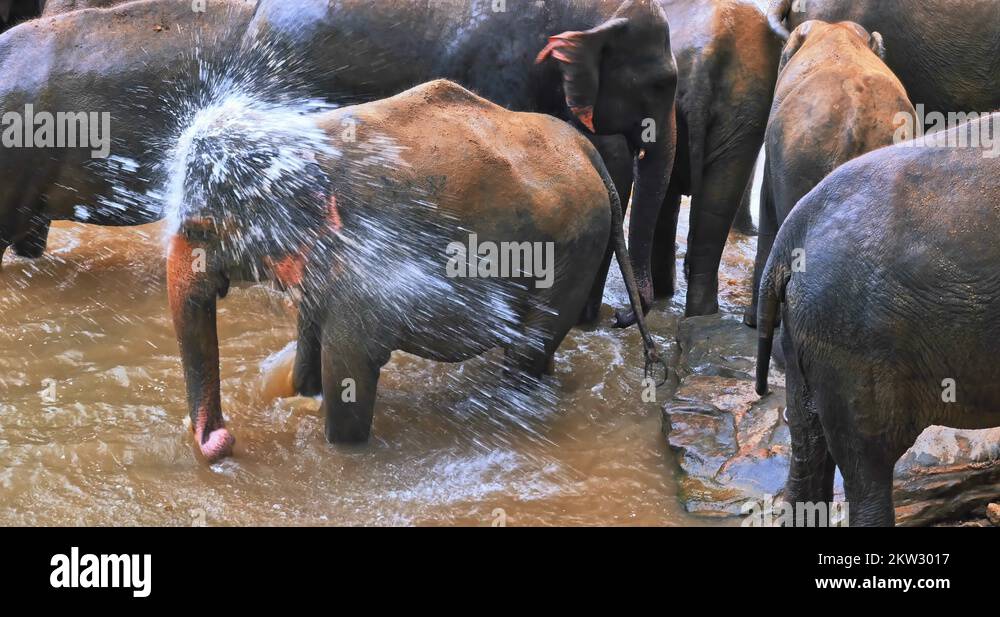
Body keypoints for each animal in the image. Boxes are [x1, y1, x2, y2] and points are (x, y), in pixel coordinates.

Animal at [167, 79, 661, 460]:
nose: (220, 440)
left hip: (572, 249)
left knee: (526, 354)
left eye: (200, 228)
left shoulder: (365, 262)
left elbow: (347, 371)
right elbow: (308, 355)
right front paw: (295, 393)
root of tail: (584, 147)